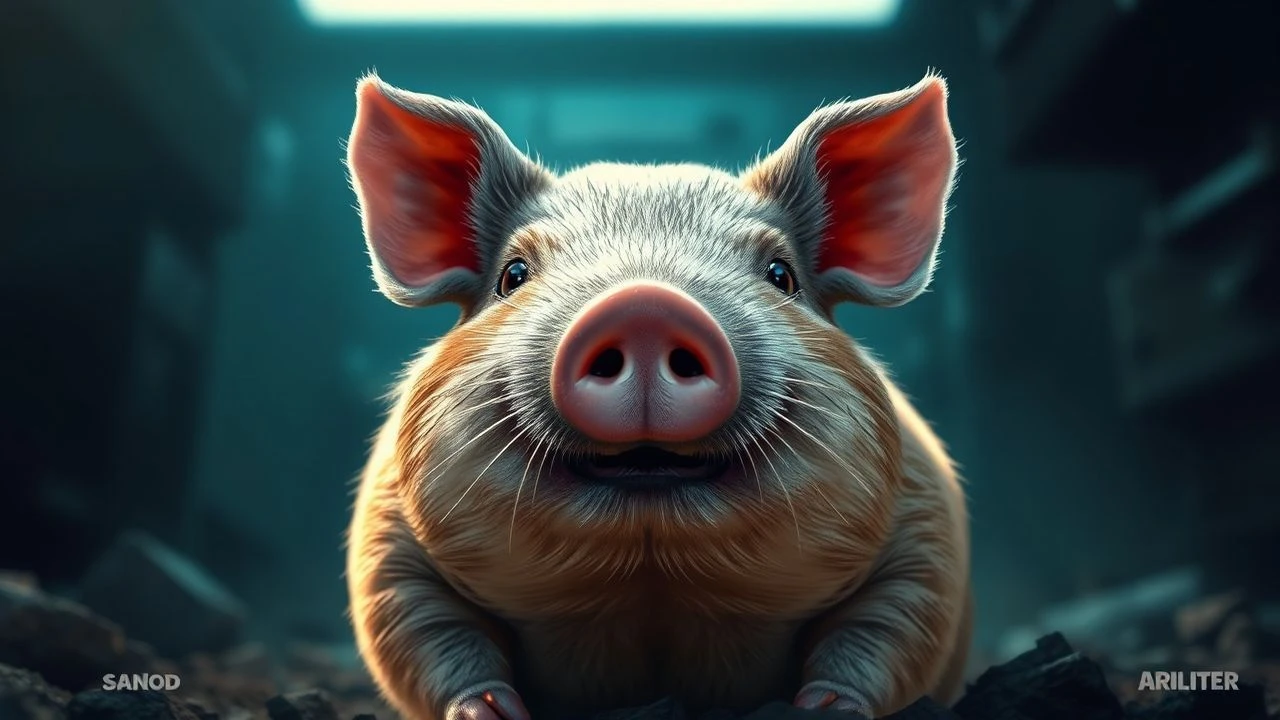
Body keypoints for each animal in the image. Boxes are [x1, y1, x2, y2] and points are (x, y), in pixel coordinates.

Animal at [344, 72, 970, 720]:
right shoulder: (386, 532)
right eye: (513, 275)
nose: (645, 304)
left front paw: (824, 708)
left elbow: (890, 623)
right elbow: (422, 625)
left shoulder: (925, 524)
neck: (651, 568)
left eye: (781, 275)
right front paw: (489, 710)